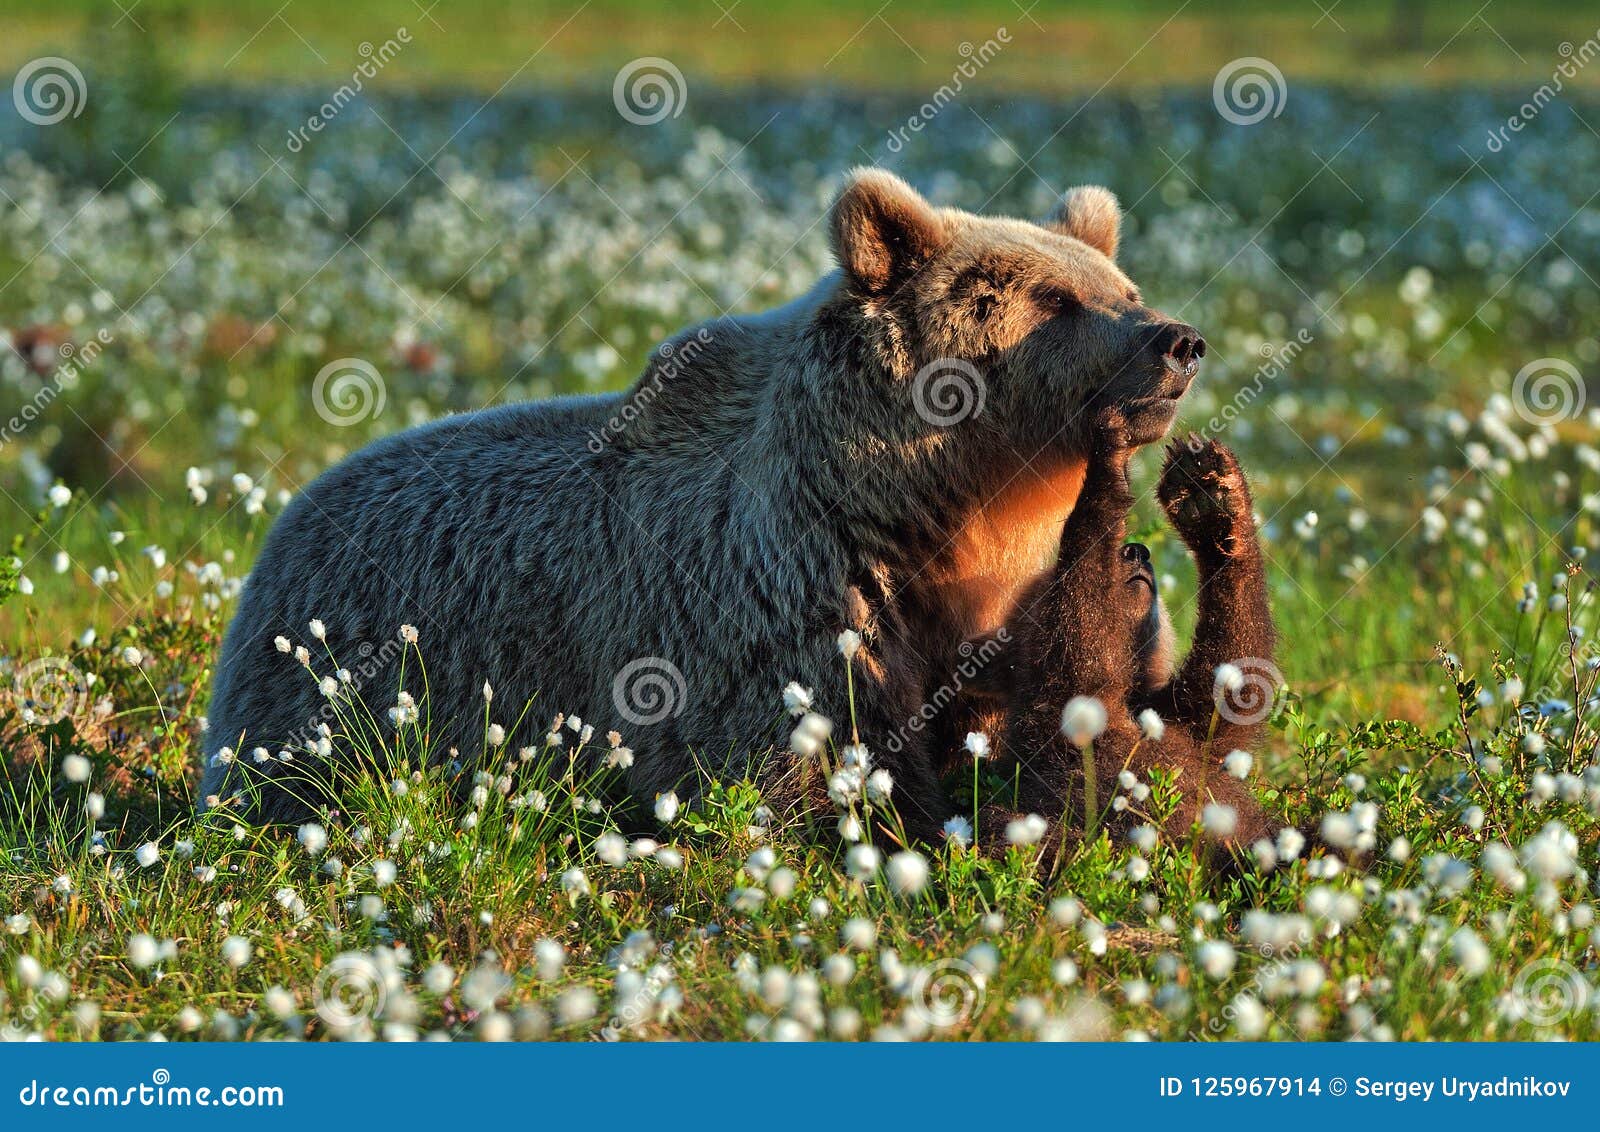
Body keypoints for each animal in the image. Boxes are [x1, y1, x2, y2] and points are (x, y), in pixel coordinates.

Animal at [199, 168, 1210, 839]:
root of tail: (286, 523)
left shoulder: (988, 605)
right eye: (1054, 298)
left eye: (1124, 287)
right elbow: (810, 755)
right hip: (339, 689)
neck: (936, 514)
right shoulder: (778, 598)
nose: (1176, 340)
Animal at [995, 410, 1278, 856]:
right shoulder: (1062, 709)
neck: (1125, 701)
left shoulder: (1178, 720)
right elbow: (1082, 617)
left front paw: (1207, 496)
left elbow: (1233, 673)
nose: (1136, 550)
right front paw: (1109, 457)